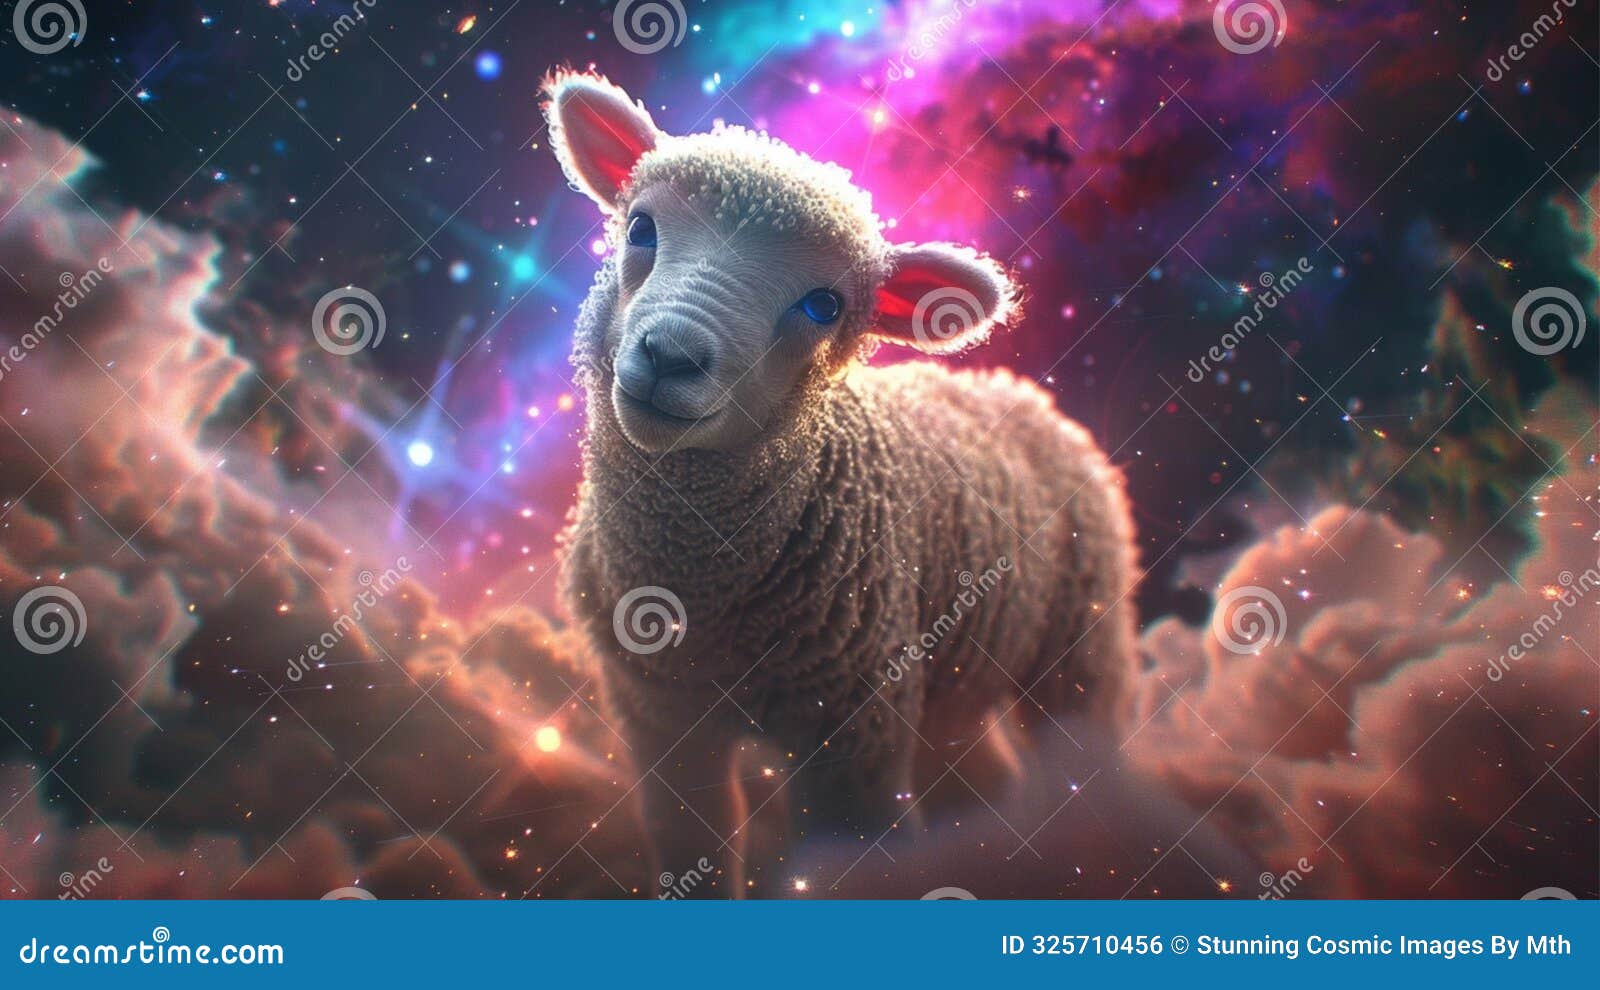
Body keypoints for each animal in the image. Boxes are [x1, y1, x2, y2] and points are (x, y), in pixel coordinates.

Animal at [544, 71, 1139, 889]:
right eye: (640, 229)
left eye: (824, 306)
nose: (671, 355)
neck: (705, 599)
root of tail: (1028, 398)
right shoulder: (656, 718)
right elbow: (689, 842)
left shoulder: (853, 730)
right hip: (952, 682)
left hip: (1079, 641)